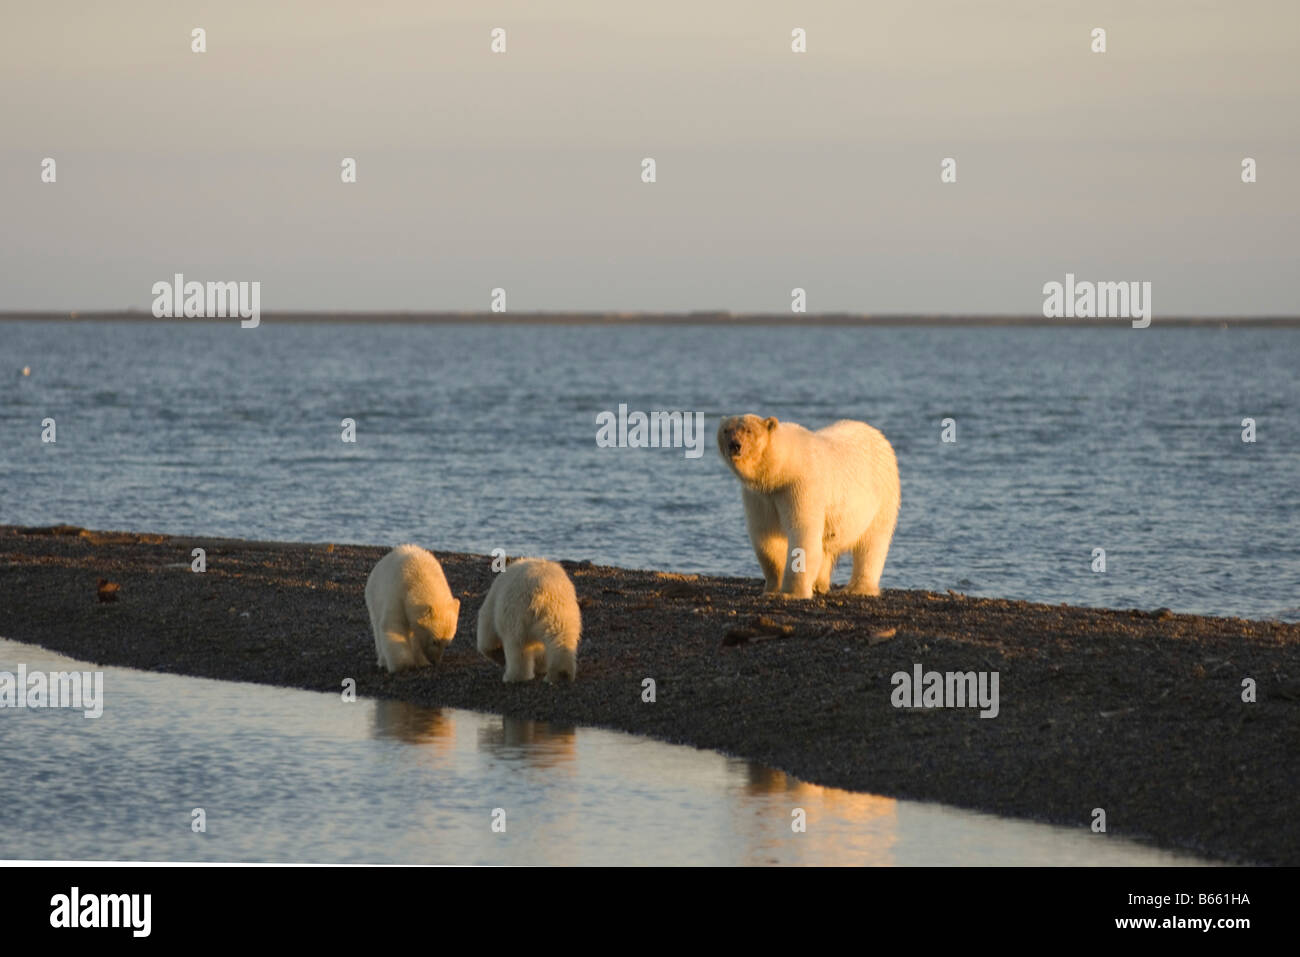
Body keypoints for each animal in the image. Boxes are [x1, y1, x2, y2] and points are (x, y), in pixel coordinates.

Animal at [365, 544, 461, 673]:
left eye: (447, 644)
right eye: (434, 641)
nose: (435, 662)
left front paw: (422, 662)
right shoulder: (397, 592)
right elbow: (394, 625)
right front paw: (404, 664)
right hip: (374, 597)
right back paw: (383, 661)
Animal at [717, 414, 900, 599]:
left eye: (748, 430)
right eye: (726, 430)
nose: (734, 445)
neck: (784, 469)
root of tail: (878, 435)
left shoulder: (801, 486)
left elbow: (803, 531)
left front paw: (791, 592)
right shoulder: (761, 496)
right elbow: (765, 535)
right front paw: (772, 590)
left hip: (882, 495)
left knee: (872, 543)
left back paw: (857, 588)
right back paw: (819, 584)